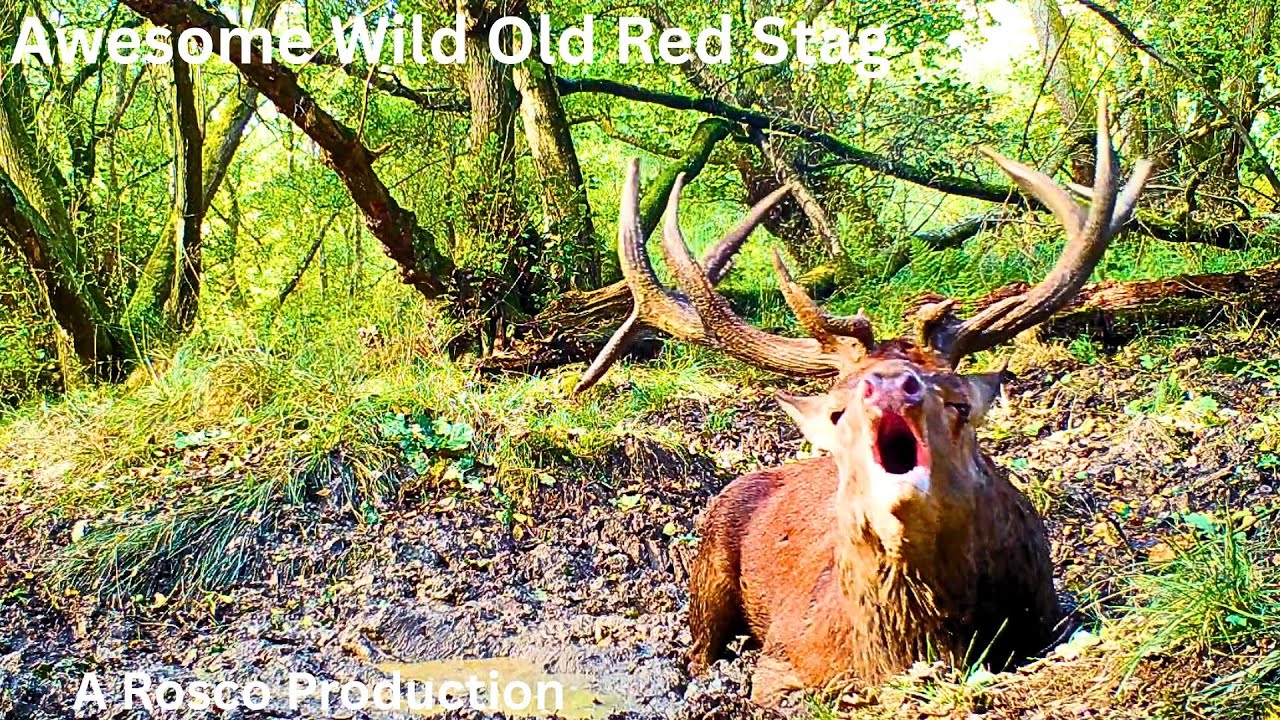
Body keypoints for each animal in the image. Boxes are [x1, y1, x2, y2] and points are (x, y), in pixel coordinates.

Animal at [574, 98, 1152, 704]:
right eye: (837, 411)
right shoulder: (782, 658)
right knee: (698, 649)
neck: (906, 649)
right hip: (706, 566)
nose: (892, 385)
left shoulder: (1049, 621)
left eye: (959, 403)